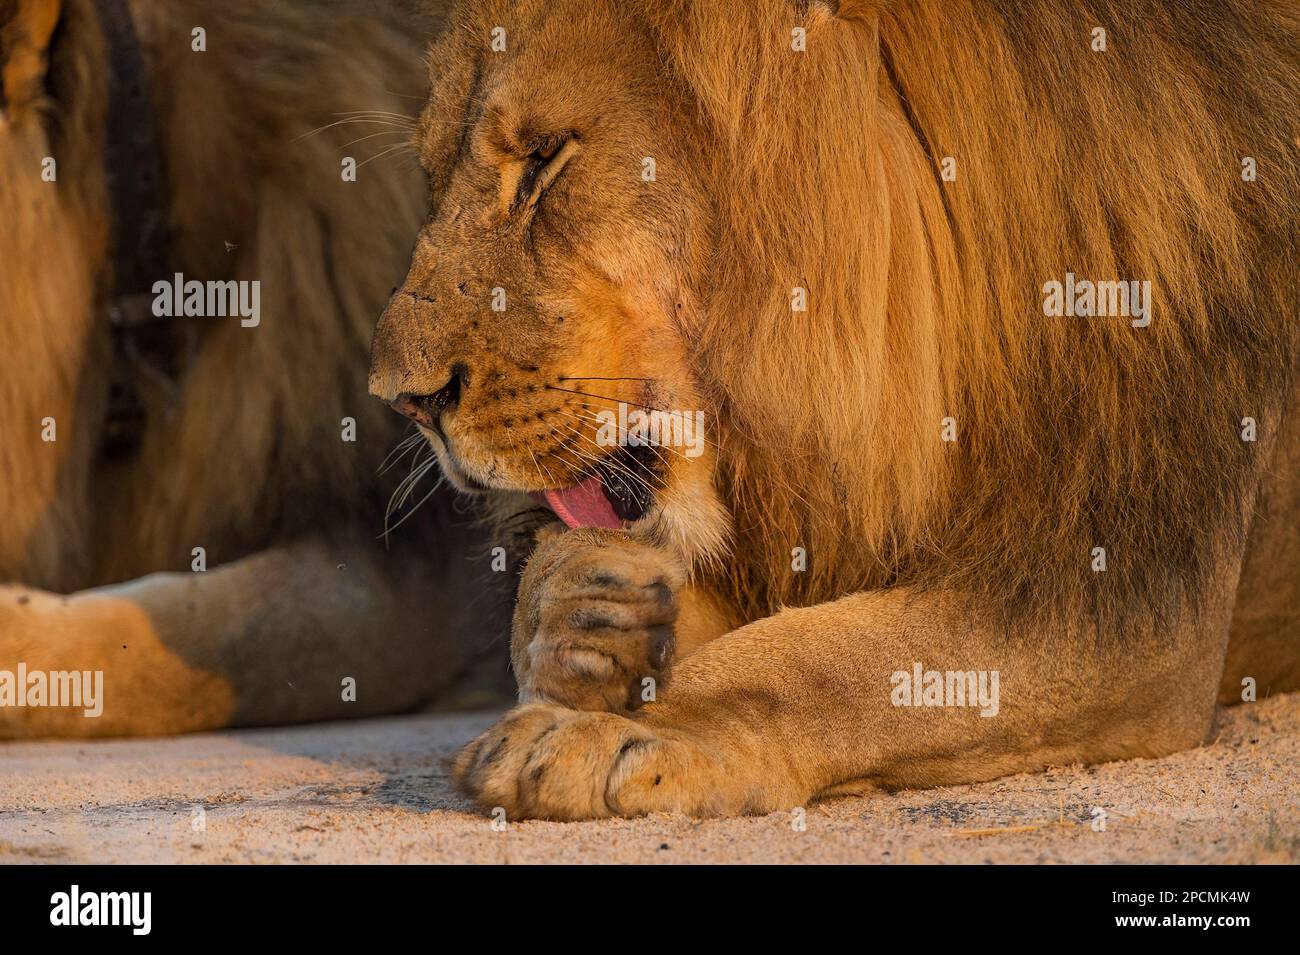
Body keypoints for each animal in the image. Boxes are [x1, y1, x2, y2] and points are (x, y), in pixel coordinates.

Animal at [368, 0, 1300, 819]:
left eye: (545, 158)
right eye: (434, 168)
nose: (404, 399)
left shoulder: (1128, 598)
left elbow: (831, 658)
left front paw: (613, 732)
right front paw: (585, 615)